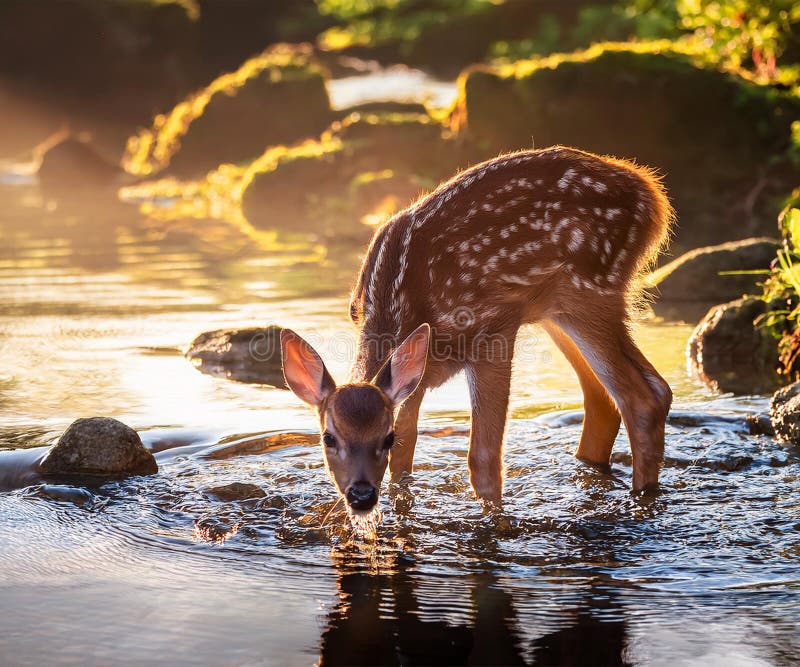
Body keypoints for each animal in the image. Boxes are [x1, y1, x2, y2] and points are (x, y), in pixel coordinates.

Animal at [280, 146, 673, 515]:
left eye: (383, 438)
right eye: (328, 438)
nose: (361, 496)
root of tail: (651, 193)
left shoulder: (494, 329)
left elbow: (482, 459)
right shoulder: (416, 371)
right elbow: (406, 453)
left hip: (590, 290)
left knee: (641, 398)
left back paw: (642, 499)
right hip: (558, 309)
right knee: (615, 397)